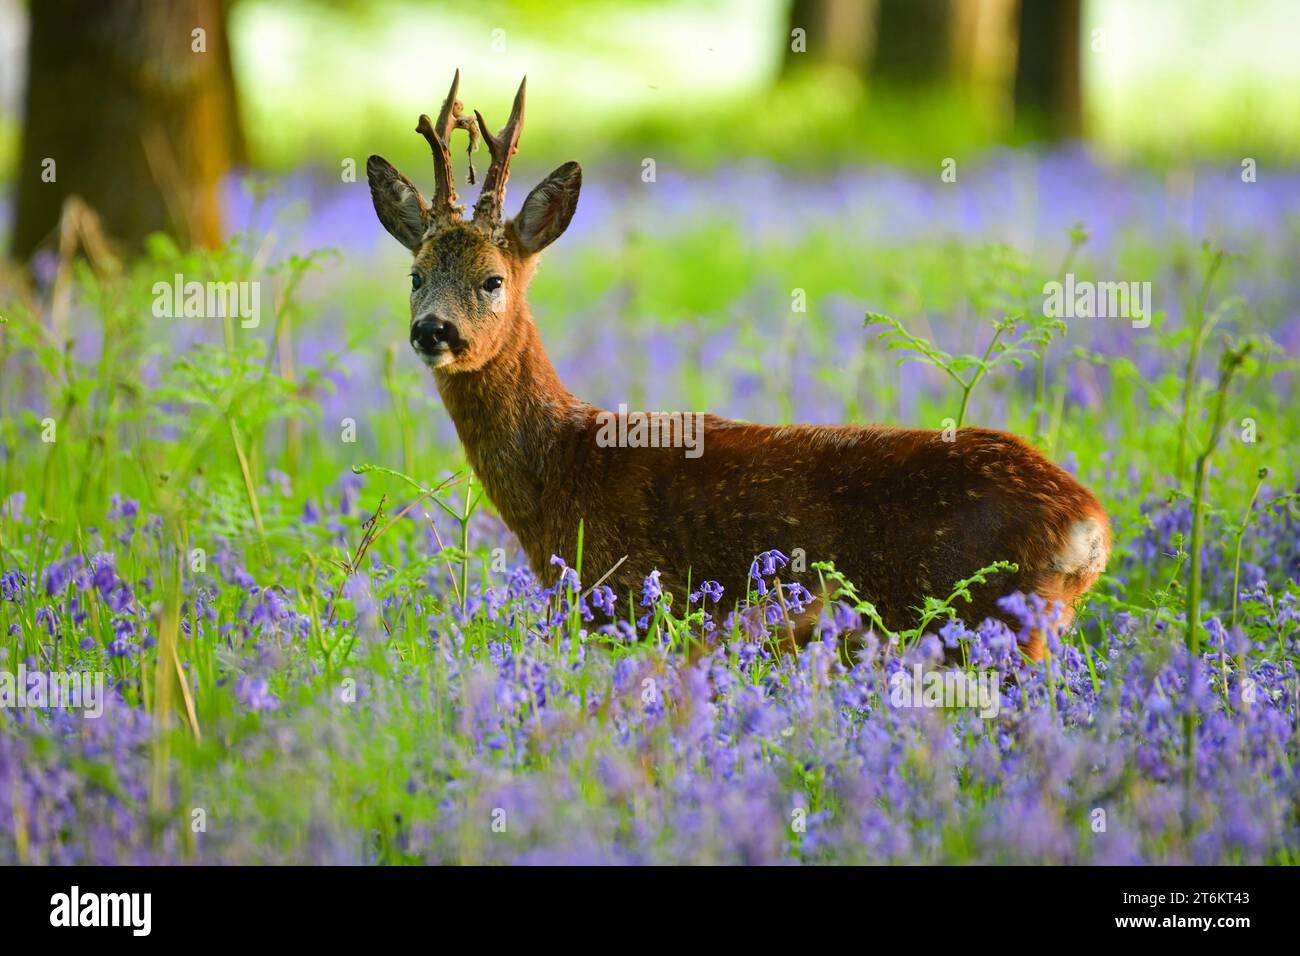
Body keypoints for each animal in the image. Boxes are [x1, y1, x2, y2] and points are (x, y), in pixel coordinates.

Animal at [366, 72, 1110, 661]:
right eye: (414, 276)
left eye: (492, 280)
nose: (433, 330)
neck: (563, 472)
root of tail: (1091, 525)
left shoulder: (632, 601)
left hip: (990, 622)